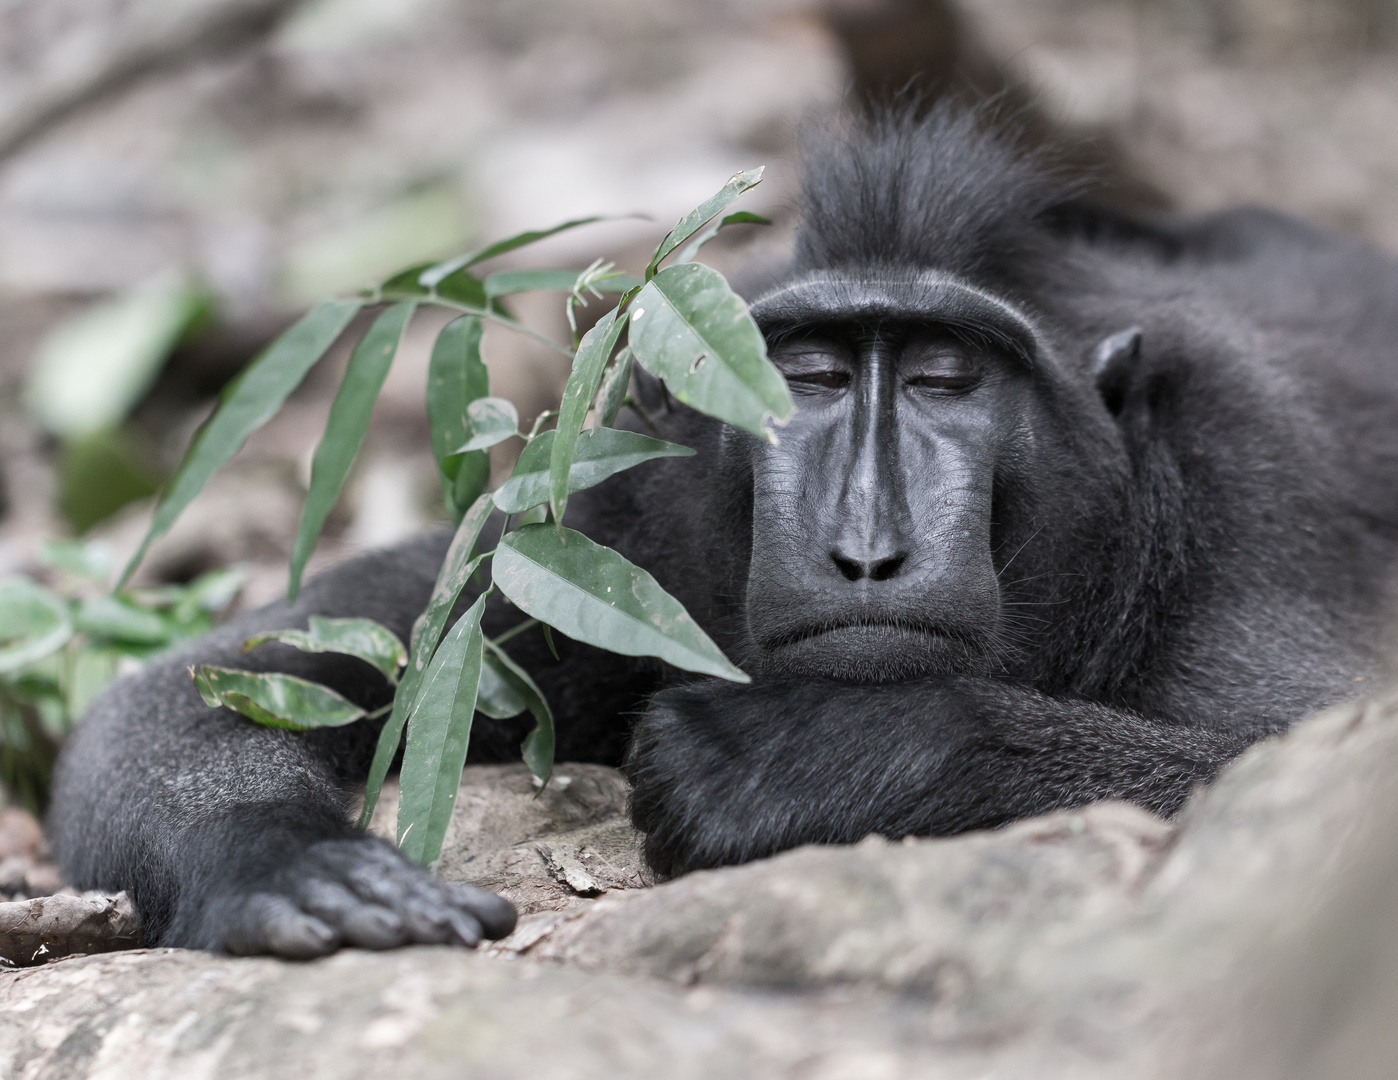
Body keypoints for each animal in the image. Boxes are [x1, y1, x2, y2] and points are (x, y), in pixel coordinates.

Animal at [46, 102, 1398, 956]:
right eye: (801, 378)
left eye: (945, 378)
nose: (868, 548)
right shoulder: (591, 531)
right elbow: (205, 683)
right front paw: (291, 864)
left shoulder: (1243, 484)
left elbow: (1302, 778)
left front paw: (814, 754)